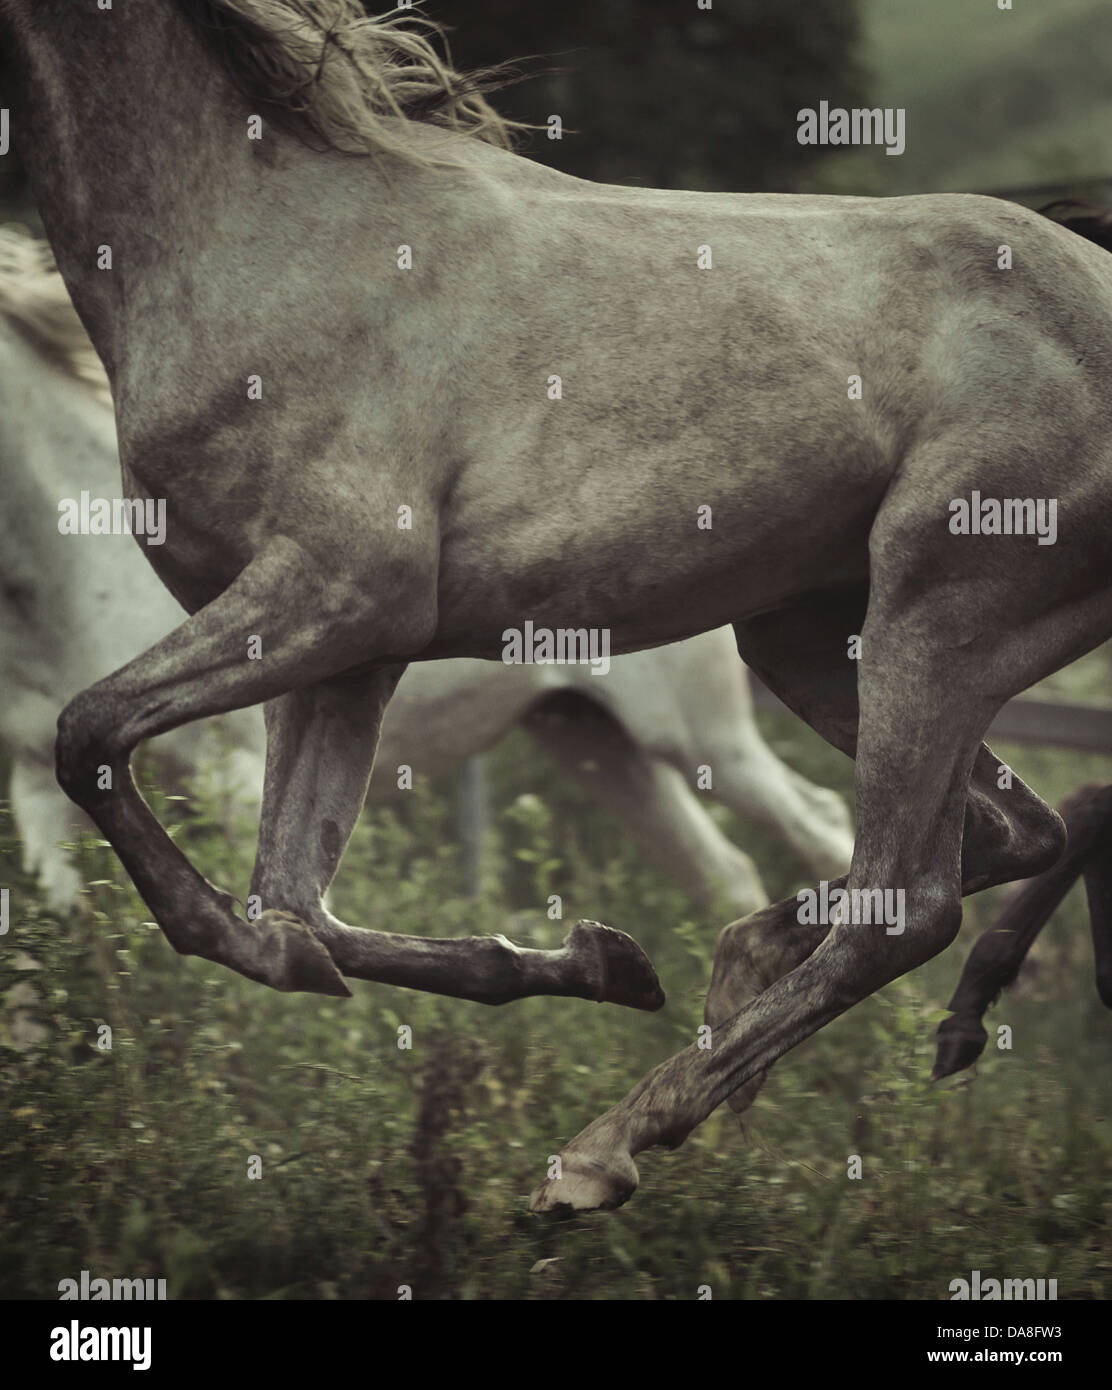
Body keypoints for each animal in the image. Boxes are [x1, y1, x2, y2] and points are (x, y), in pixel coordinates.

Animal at [0, 224, 854, 914]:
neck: (67, 580)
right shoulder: (40, 790)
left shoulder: (235, 775)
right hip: (594, 740)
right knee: (724, 875)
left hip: (704, 740)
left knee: (820, 825)